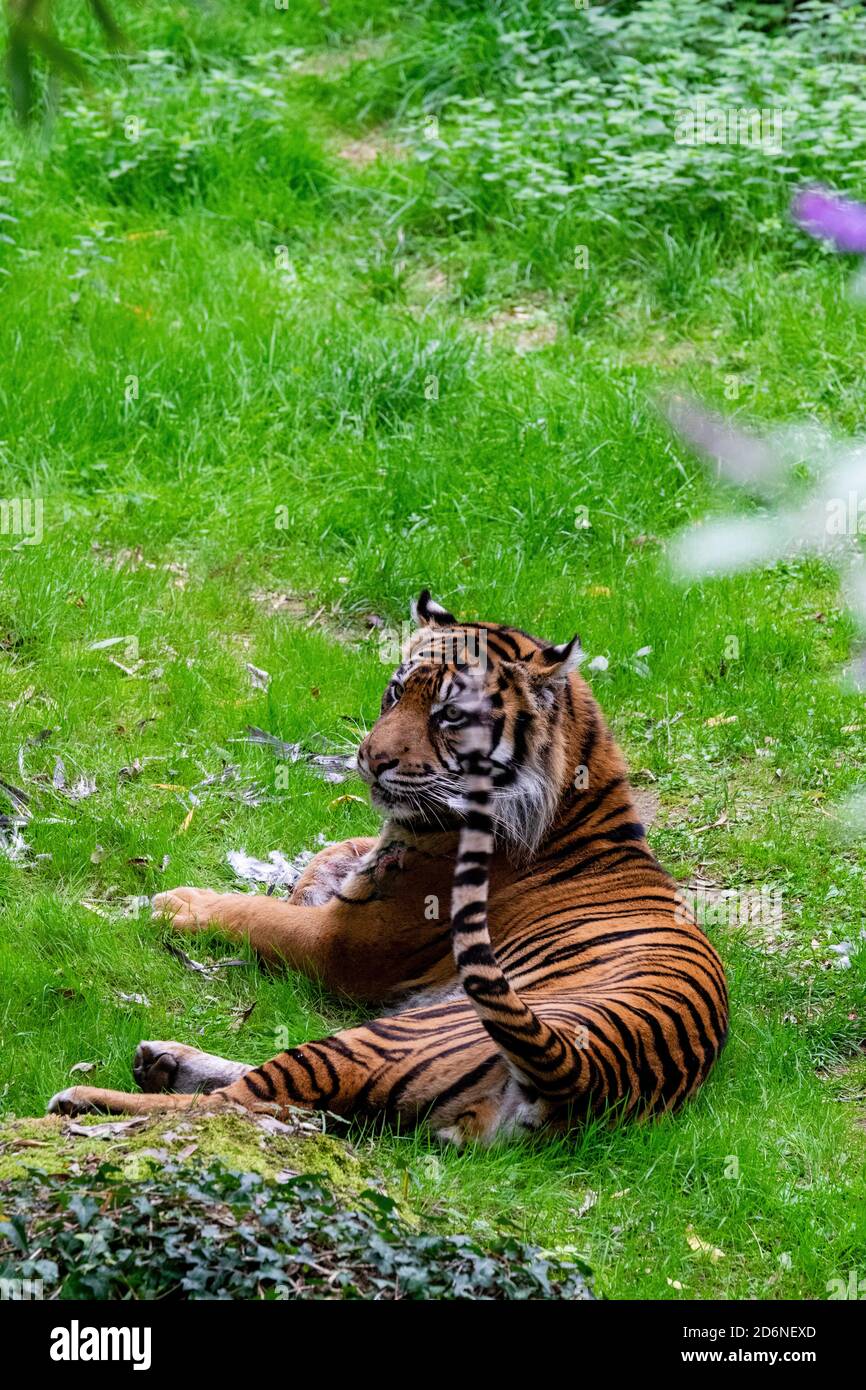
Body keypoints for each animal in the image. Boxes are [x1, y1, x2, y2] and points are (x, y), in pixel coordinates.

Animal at [47, 590, 729, 1145]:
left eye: (450, 715)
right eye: (398, 691)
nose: (369, 760)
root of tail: (586, 1070)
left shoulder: (341, 945)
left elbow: (258, 914)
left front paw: (178, 902)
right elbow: (332, 855)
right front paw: (314, 879)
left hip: (390, 1034)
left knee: (237, 1110)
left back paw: (82, 1104)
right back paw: (160, 1060)